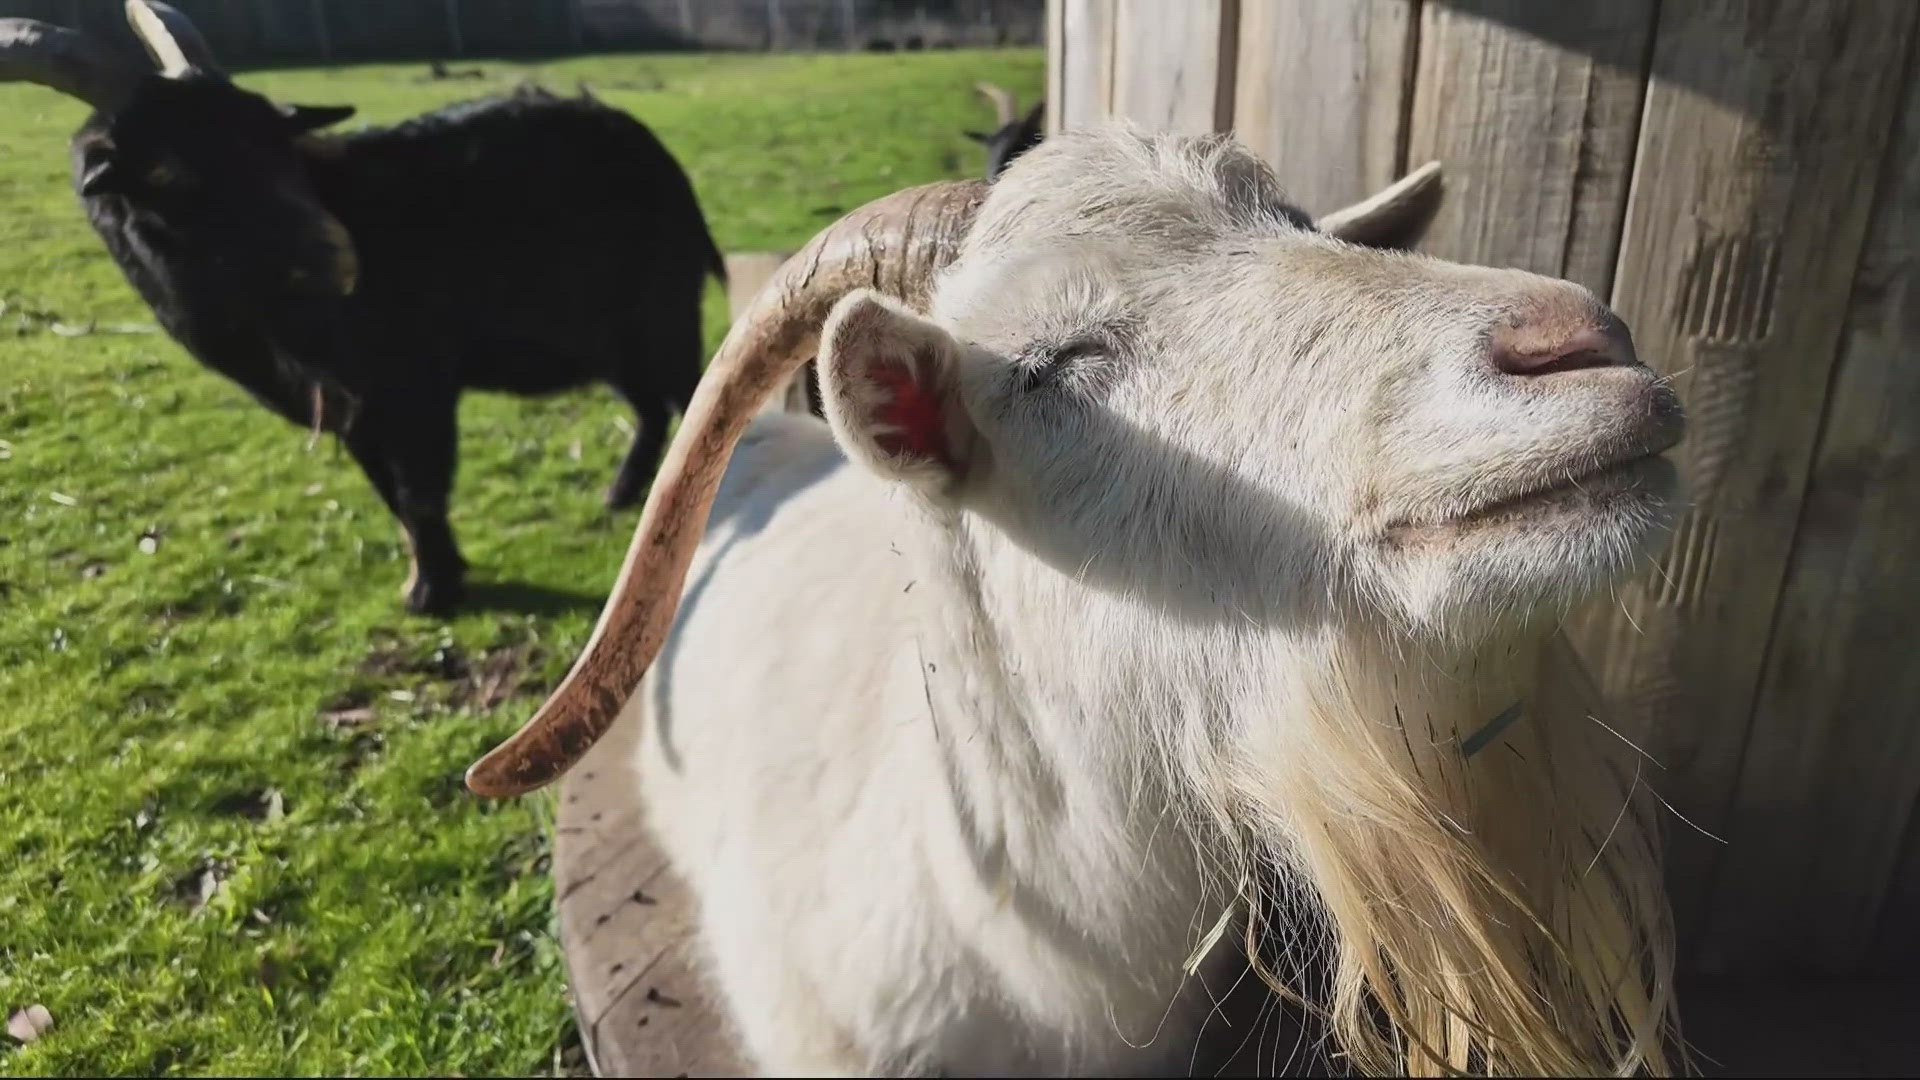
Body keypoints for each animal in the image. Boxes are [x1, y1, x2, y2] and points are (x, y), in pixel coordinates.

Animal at [1, 2, 725, 614]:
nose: (336, 255)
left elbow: (419, 490)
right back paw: (621, 494)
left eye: (275, 138)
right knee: (649, 405)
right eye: (163, 171)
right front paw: (431, 579)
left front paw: (433, 591)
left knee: (683, 395)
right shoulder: (351, 406)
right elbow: (389, 492)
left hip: (659, 308)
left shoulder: (416, 385)